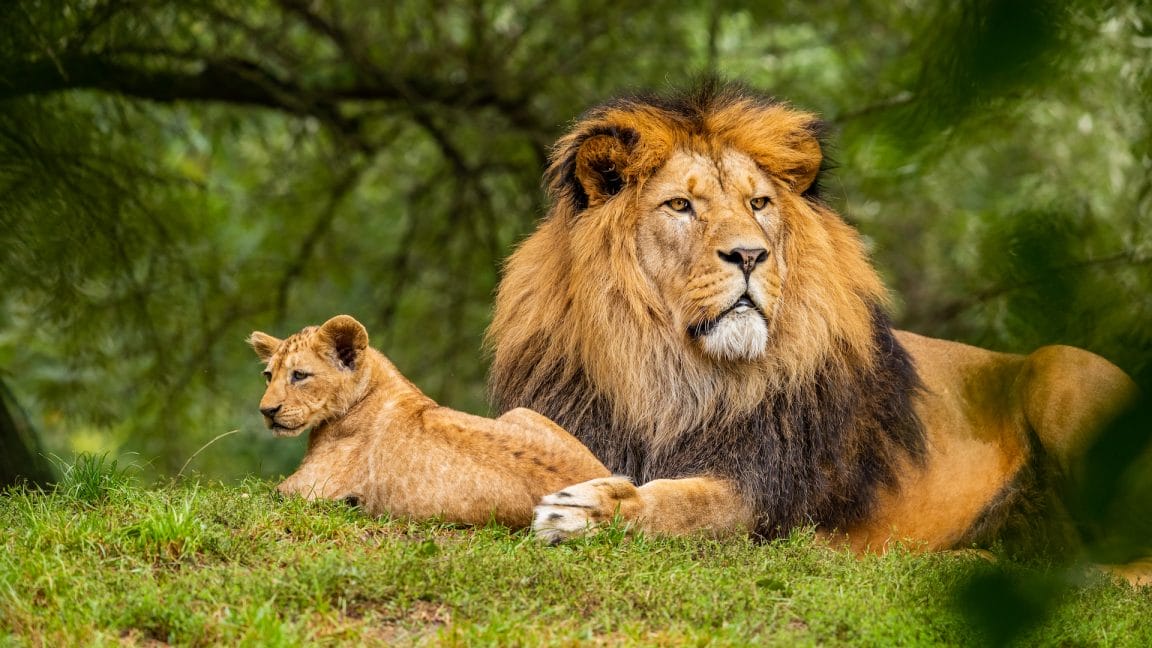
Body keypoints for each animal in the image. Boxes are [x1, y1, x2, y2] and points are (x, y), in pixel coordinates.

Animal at [247, 314, 610, 526]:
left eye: (299, 375)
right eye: (267, 376)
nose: (266, 411)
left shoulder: (306, 489)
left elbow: (257, 496)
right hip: (520, 411)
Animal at [485, 81, 1148, 583]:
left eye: (758, 204)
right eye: (679, 206)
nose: (750, 255)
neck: (672, 372)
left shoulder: (763, 489)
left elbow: (684, 503)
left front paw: (588, 510)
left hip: (1062, 368)